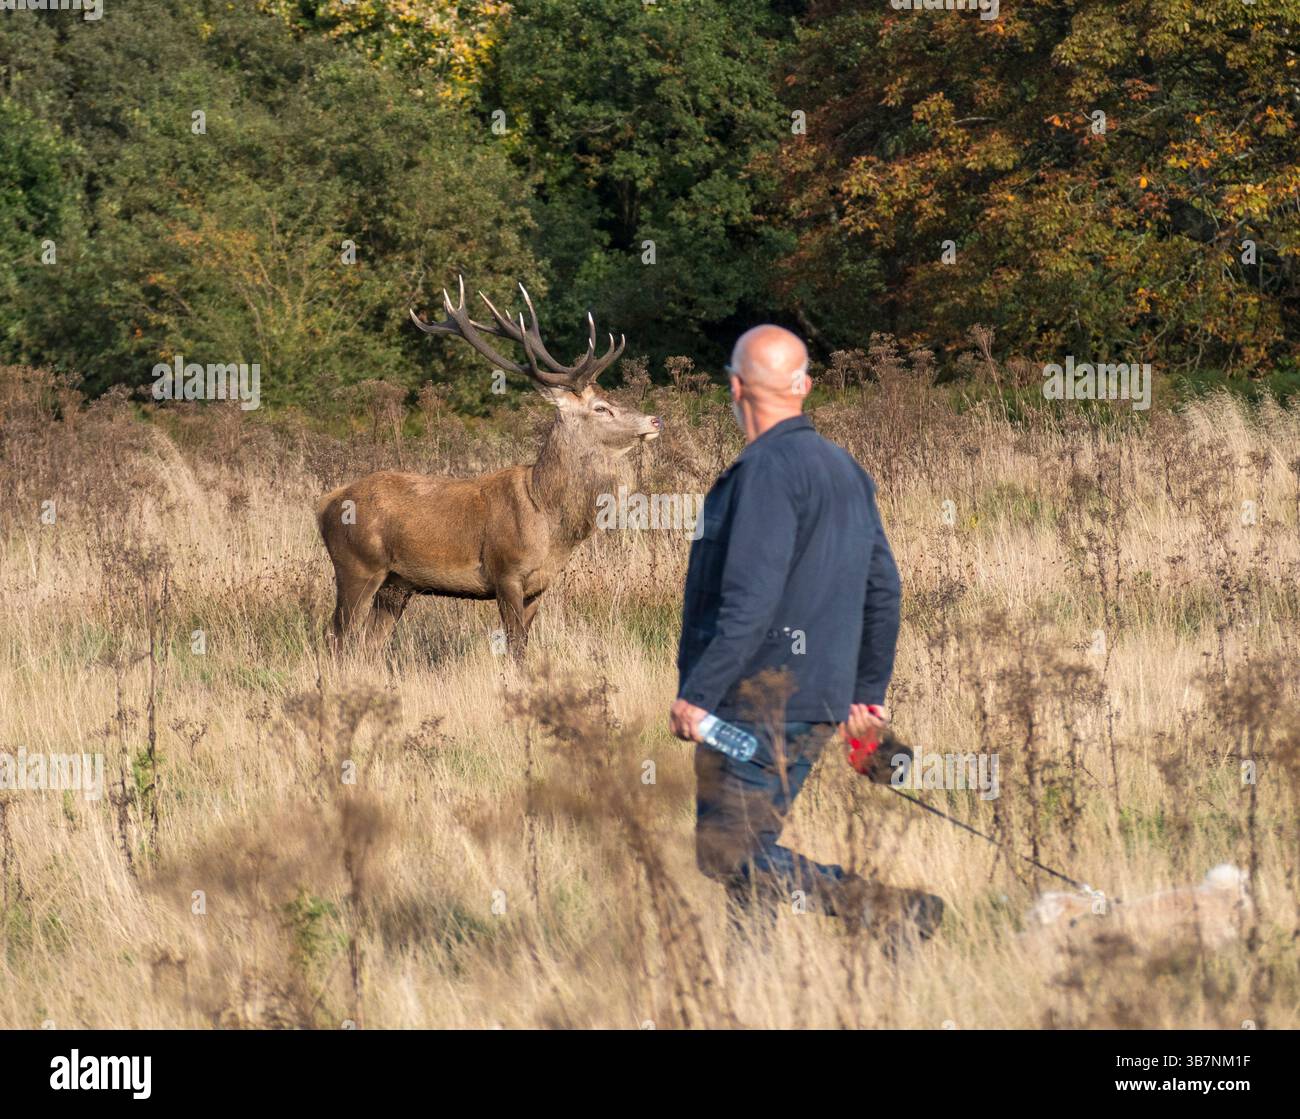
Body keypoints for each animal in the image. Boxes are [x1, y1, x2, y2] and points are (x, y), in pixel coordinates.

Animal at [316, 277, 661, 657]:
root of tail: (324, 504)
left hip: (396, 585)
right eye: (601, 408)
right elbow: (515, 646)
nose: (654, 420)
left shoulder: (539, 585)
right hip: (357, 565)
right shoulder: (506, 571)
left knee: (369, 643)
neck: (548, 519)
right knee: (336, 636)